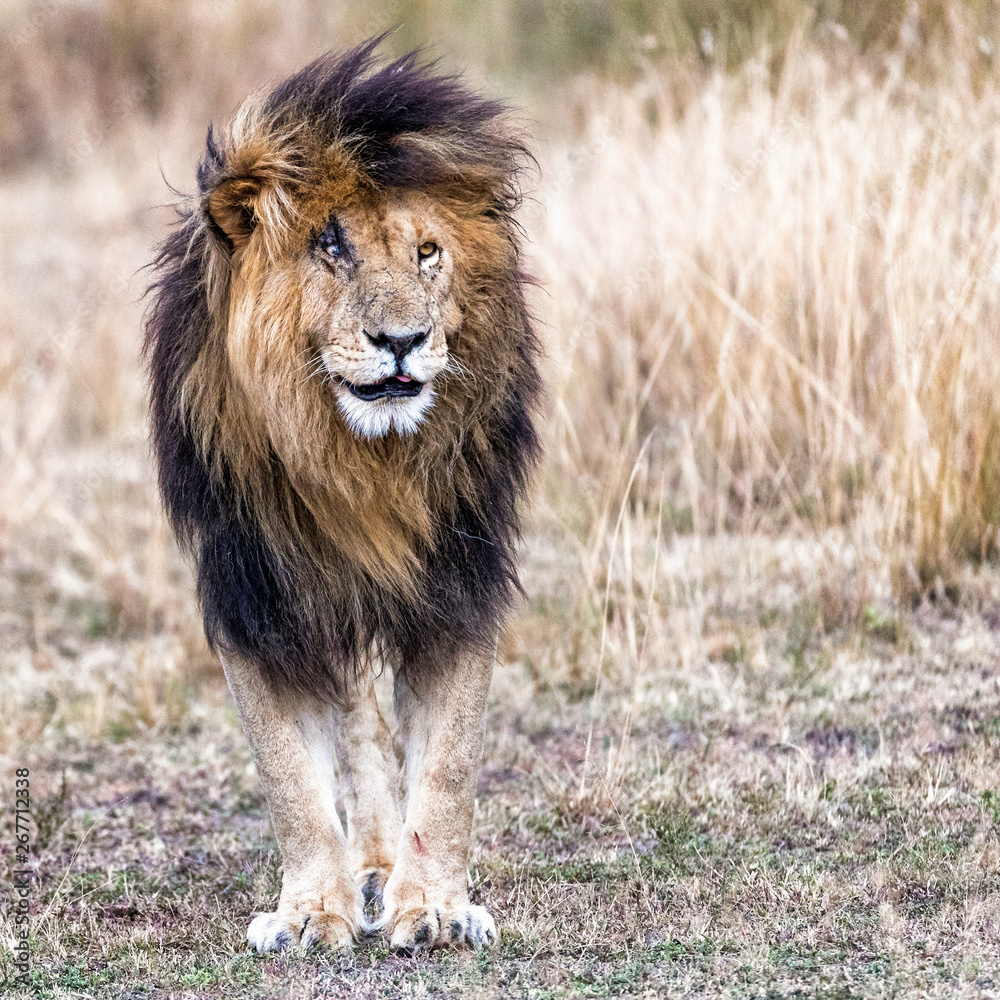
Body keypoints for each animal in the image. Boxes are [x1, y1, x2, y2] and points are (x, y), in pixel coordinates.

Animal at [144, 39, 540, 954]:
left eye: (428, 252)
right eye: (331, 247)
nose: (402, 340)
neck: (359, 463)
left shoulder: (456, 580)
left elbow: (448, 768)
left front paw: (434, 906)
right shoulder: (257, 596)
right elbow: (292, 779)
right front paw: (309, 912)